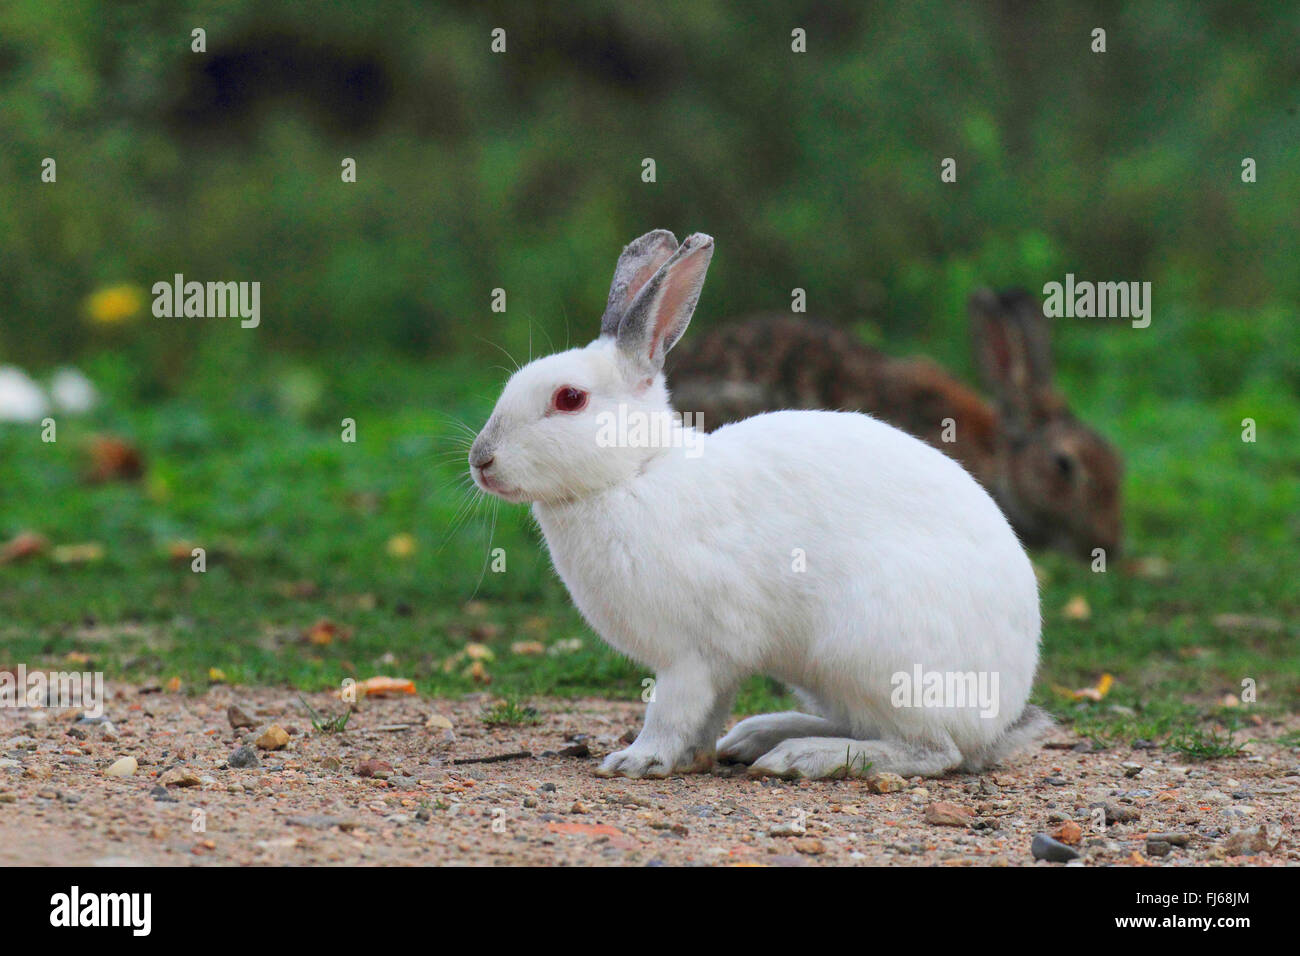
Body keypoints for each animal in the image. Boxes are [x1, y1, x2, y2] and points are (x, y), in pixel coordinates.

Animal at [469, 230, 1050, 779]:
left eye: (569, 399)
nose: (481, 460)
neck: (636, 470)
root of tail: (998, 718)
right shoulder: (717, 666)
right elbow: (707, 714)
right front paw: (692, 758)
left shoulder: (692, 656)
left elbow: (671, 711)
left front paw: (637, 760)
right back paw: (759, 736)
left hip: (869, 654)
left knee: (932, 750)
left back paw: (802, 756)